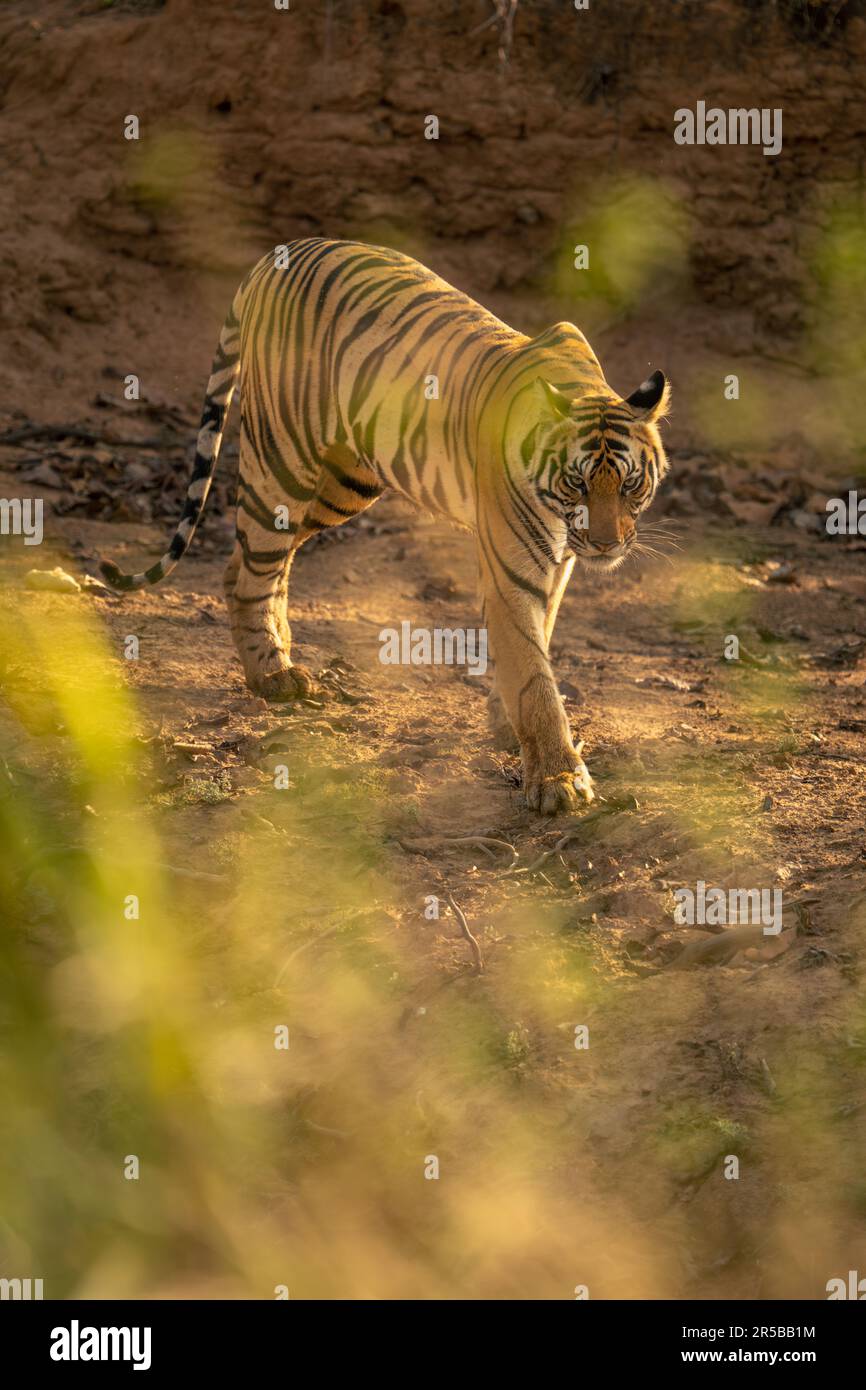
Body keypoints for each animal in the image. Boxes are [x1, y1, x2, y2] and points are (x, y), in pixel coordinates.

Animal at [101, 237, 671, 815]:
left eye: (629, 485)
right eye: (578, 484)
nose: (606, 543)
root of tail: (282, 250)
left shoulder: (558, 561)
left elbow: (536, 645)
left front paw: (508, 727)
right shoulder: (515, 564)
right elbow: (532, 671)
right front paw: (559, 780)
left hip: (343, 486)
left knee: (249, 561)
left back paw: (279, 649)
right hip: (281, 461)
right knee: (254, 566)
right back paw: (273, 675)